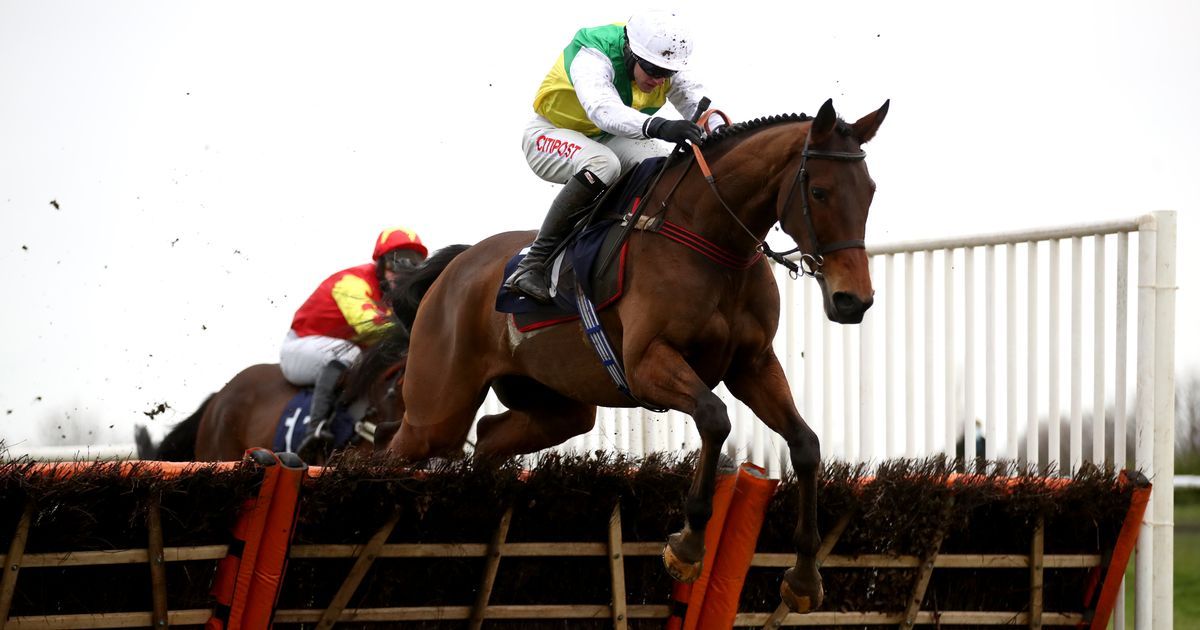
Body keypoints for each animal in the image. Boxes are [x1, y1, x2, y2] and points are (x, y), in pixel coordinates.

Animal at [383, 98, 888, 613]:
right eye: (820, 191)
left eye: (869, 192)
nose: (853, 301)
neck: (713, 237)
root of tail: (457, 265)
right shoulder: (647, 364)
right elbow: (715, 418)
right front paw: (687, 546)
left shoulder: (753, 366)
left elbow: (805, 444)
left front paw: (804, 577)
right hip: (435, 411)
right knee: (397, 452)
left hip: (559, 409)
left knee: (487, 437)